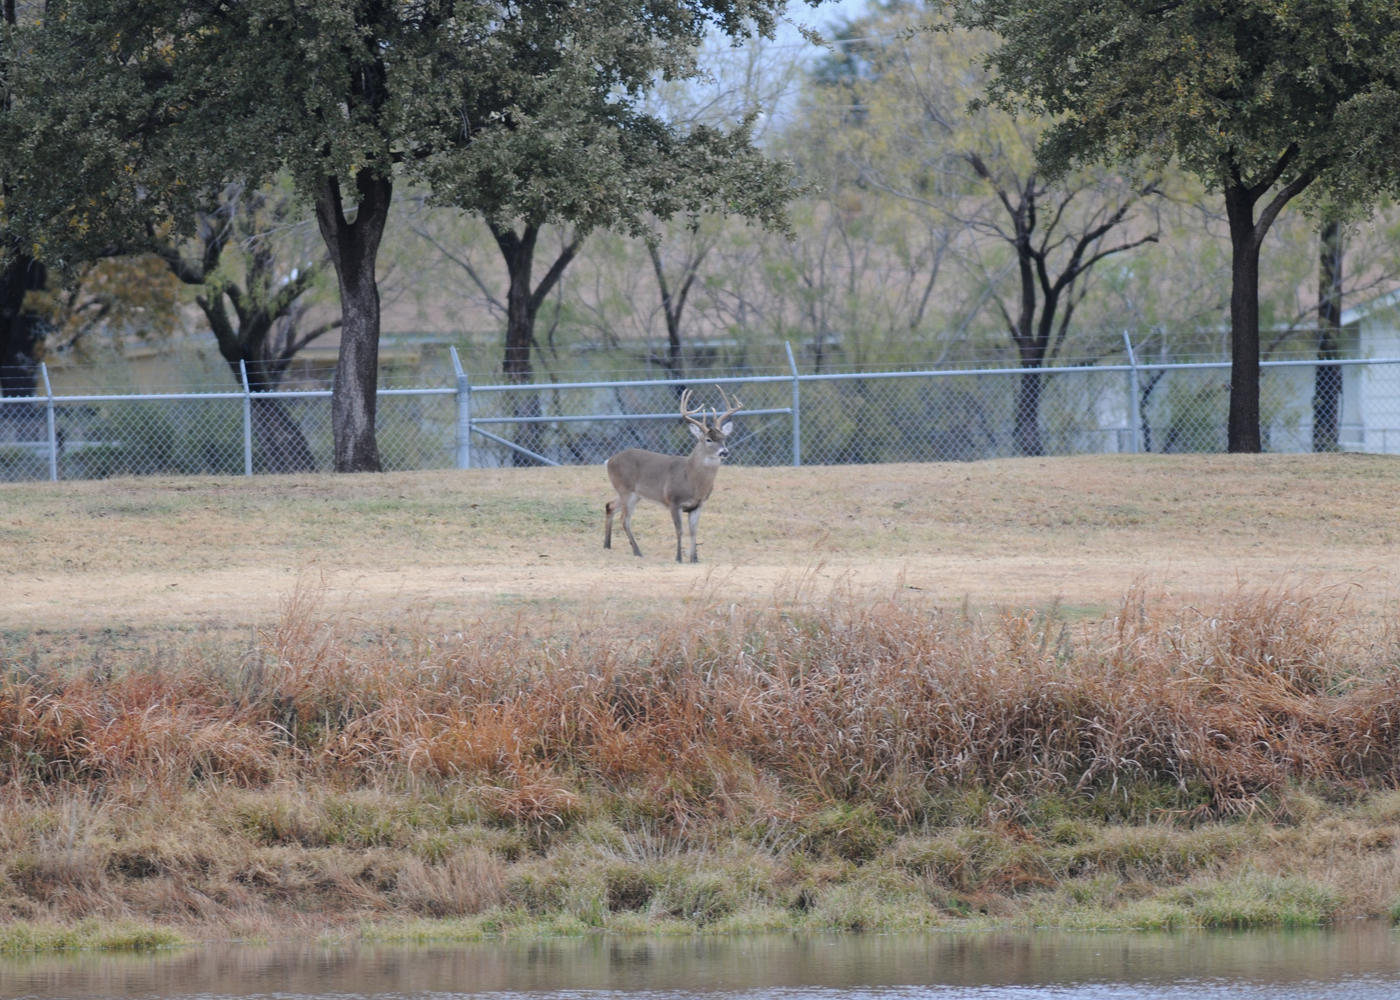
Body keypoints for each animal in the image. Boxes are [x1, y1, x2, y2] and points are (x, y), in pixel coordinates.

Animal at [604, 387, 743, 563]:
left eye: (724, 438)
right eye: (708, 439)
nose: (724, 452)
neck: (691, 479)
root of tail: (610, 460)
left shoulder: (698, 505)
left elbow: (693, 531)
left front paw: (695, 559)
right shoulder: (673, 500)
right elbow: (679, 530)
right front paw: (678, 558)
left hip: (633, 493)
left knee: (610, 505)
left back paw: (607, 545)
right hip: (626, 489)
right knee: (625, 519)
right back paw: (637, 551)